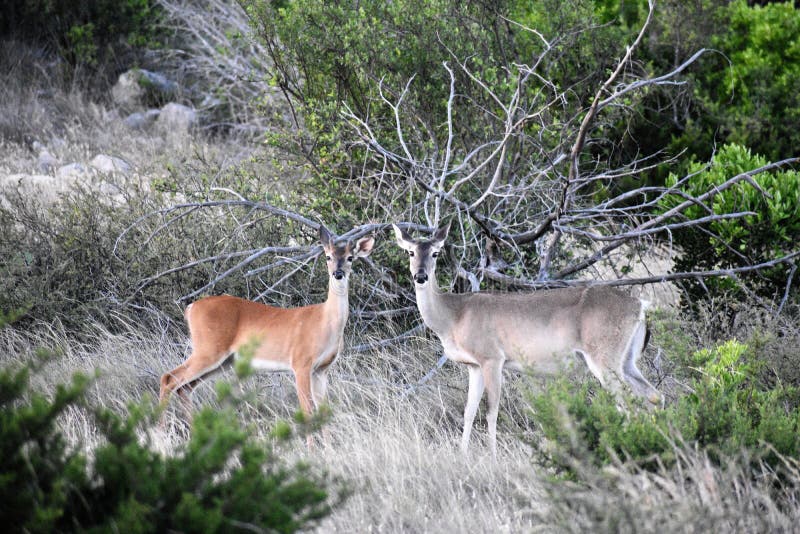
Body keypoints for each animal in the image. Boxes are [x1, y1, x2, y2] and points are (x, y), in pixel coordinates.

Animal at [159, 225, 375, 428]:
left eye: (350, 258)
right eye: (328, 256)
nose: (338, 274)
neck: (325, 322)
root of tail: (191, 308)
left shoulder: (322, 370)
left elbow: (323, 413)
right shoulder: (301, 363)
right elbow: (307, 412)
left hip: (223, 361)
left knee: (184, 387)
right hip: (209, 349)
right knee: (169, 378)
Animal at [392, 222, 662, 457]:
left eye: (436, 253)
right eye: (410, 252)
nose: (420, 276)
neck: (454, 316)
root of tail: (641, 305)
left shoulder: (492, 358)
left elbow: (491, 411)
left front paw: (493, 457)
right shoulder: (474, 366)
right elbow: (469, 411)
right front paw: (462, 454)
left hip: (604, 357)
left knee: (626, 403)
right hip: (626, 361)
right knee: (652, 396)